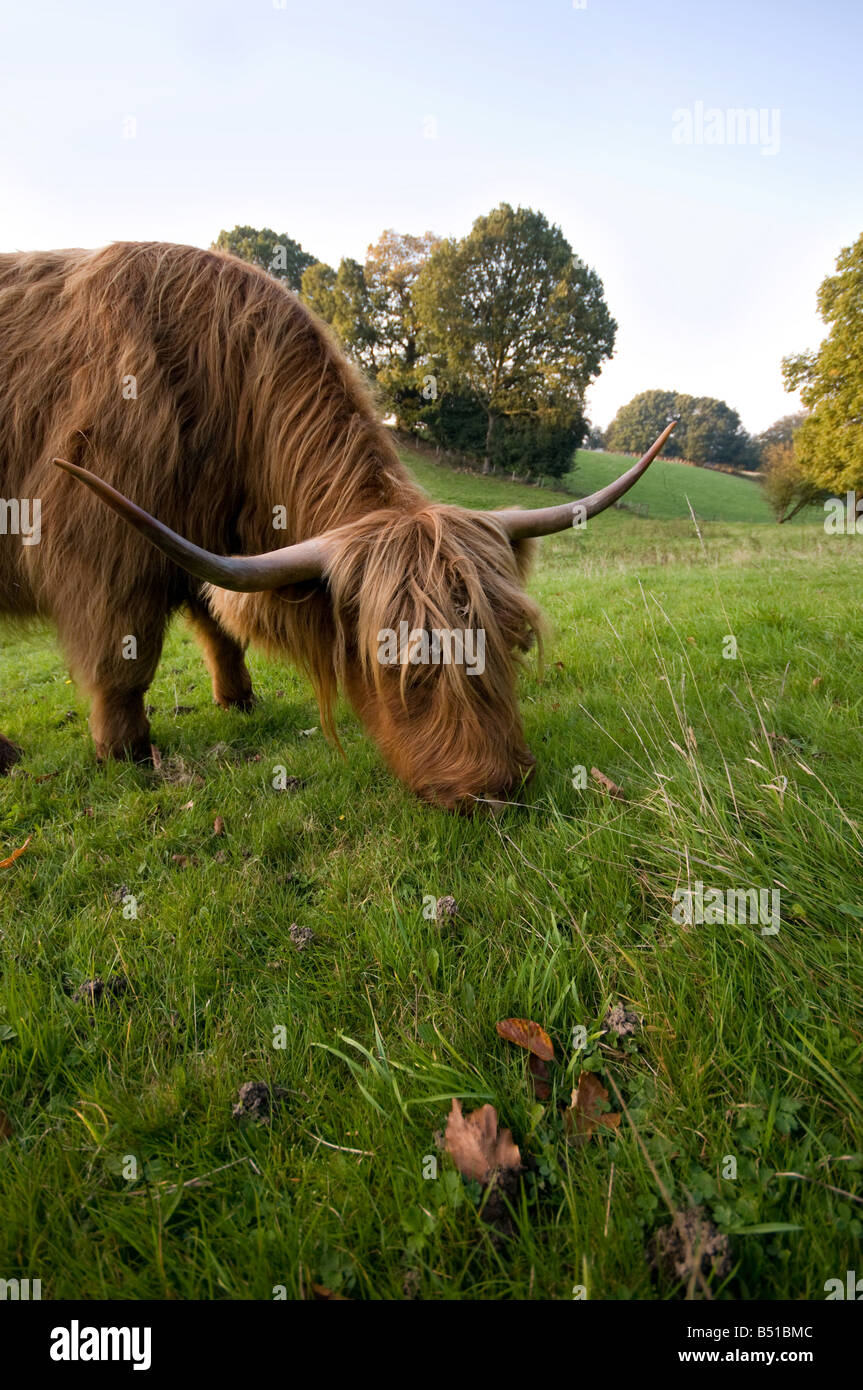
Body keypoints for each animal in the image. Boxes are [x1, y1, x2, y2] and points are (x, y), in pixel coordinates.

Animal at [0, 241, 673, 809]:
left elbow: (219, 624)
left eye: (512, 640)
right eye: (394, 661)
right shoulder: (103, 548)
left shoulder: (200, 541)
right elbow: (125, 657)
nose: (493, 789)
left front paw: (238, 700)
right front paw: (126, 752)